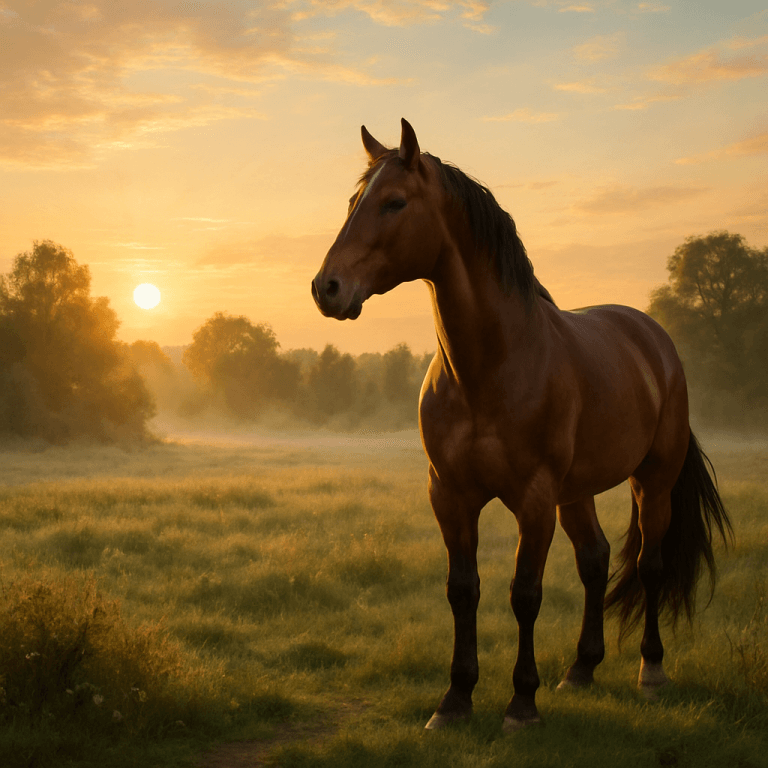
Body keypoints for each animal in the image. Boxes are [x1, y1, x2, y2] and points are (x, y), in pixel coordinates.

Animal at [311, 119, 732, 733]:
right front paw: (455, 699)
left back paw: (651, 671)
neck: (491, 368)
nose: (327, 288)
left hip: (651, 482)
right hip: (576, 493)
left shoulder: (533, 500)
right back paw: (581, 668)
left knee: (648, 565)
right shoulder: (451, 495)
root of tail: (654, 339)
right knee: (595, 560)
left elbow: (524, 594)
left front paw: (521, 703)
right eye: (353, 202)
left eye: (394, 202)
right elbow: (463, 591)